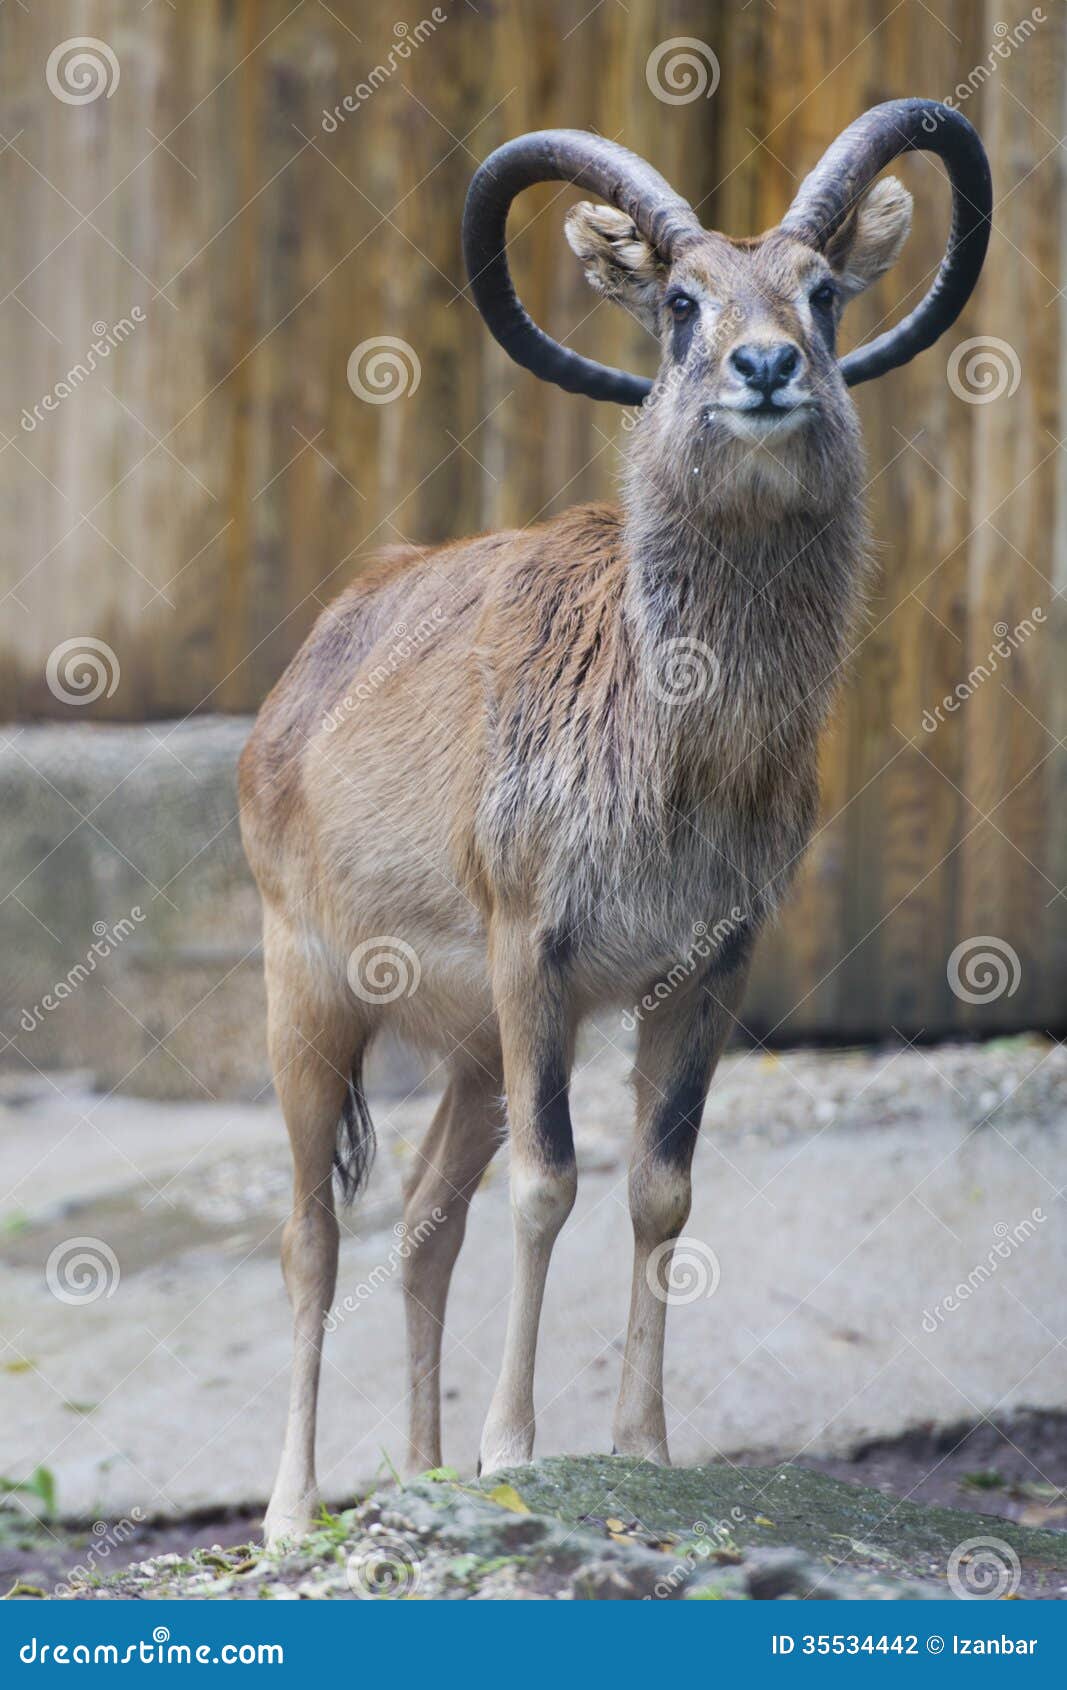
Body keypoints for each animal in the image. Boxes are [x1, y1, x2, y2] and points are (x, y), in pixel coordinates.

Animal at [238, 99, 991, 1545]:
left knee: (424, 1218)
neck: (673, 739)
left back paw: (417, 1471)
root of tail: (307, 669)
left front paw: (642, 1446)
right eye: (679, 299)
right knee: (312, 1231)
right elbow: (550, 1185)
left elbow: (657, 1185)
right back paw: (293, 1511)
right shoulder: (533, 944)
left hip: (471, 1051)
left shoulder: (703, 965)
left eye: (817, 289)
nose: (764, 366)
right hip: (310, 990)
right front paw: (511, 1445)